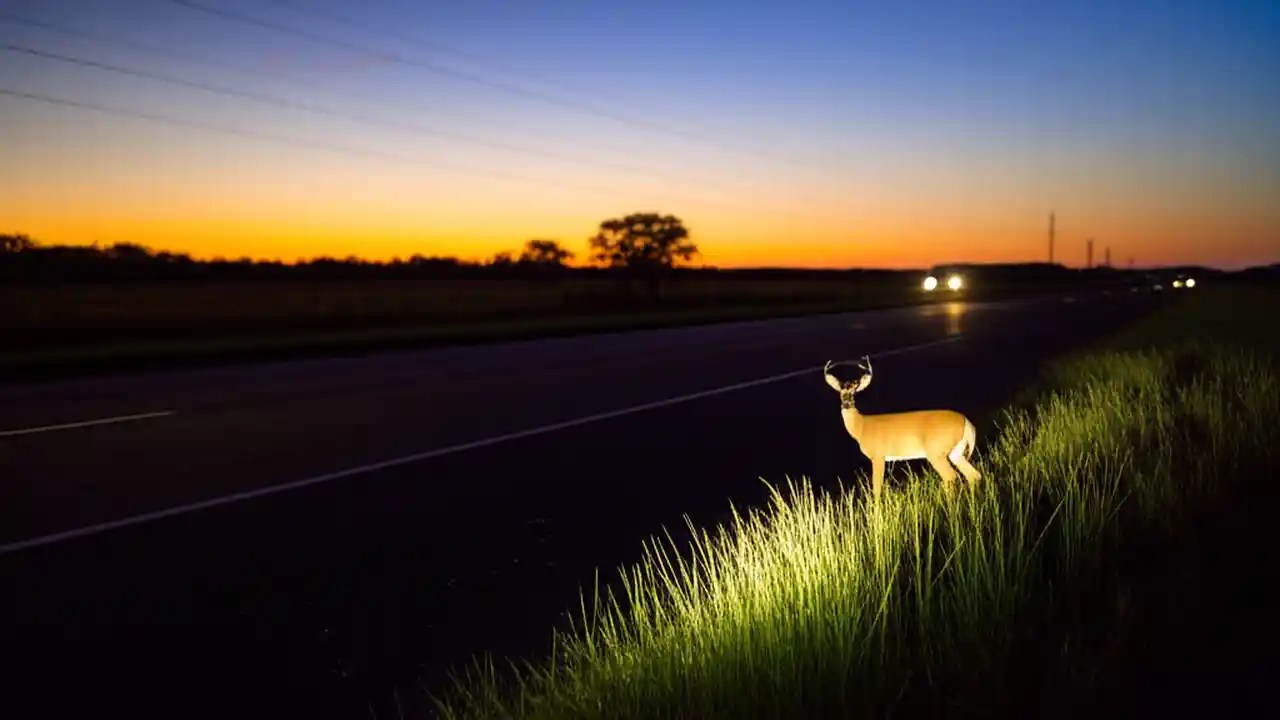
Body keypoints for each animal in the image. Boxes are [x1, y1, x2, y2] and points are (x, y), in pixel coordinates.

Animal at [823, 356, 981, 497]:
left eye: (854, 391)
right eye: (840, 392)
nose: (846, 404)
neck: (861, 427)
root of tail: (968, 423)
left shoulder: (878, 455)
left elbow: (877, 489)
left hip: (936, 451)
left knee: (951, 477)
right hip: (956, 452)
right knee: (974, 475)